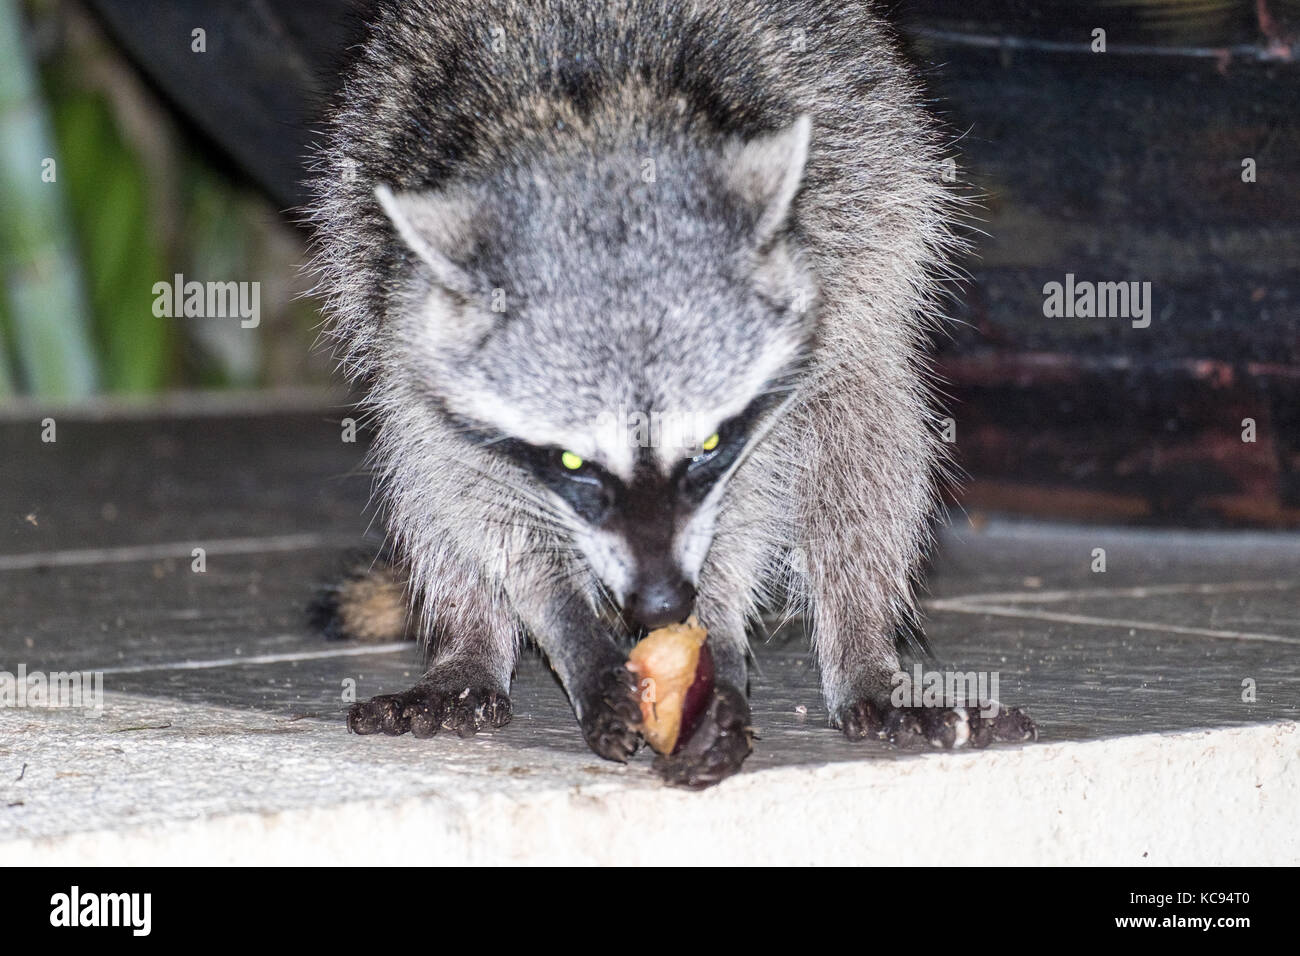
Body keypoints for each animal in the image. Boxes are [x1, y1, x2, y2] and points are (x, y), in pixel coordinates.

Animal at [307, 0, 1035, 788]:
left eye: (708, 445)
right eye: (574, 463)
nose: (661, 604)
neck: (592, 129)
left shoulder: (804, 298)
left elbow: (765, 478)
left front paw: (715, 623)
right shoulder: (411, 307)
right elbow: (469, 483)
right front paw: (567, 627)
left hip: (874, 193)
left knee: (863, 410)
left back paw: (863, 643)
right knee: (417, 454)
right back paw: (469, 640)